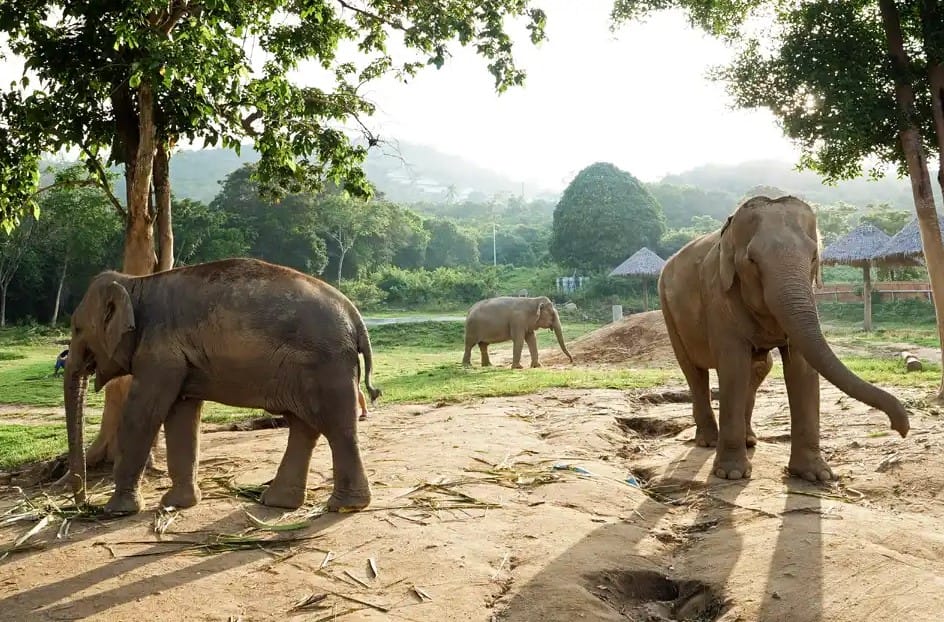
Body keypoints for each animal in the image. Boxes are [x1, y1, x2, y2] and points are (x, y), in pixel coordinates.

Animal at [57, 257, 382, 516]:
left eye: (76, 328)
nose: (82, 504)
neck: (136, 284)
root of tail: (355, 316)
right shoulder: (177, 360)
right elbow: (182, 416)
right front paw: (178, 504)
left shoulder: (159, 356)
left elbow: (141, 416)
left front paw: (117, 511)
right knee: (304, 427)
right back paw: (277, 502)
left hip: (326, 365)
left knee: (337, 428)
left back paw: (344, 506)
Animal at [658, 195, 909, 482]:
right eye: (752, 260)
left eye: (813, 257)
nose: (901, 428)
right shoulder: (718, 295)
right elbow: (733, 366)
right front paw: (731, 474)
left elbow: (802, 367)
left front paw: (816, 475)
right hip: (667, 309)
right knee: (694, 370)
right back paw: (709, 441)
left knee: (760, 367)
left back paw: (749, 440)